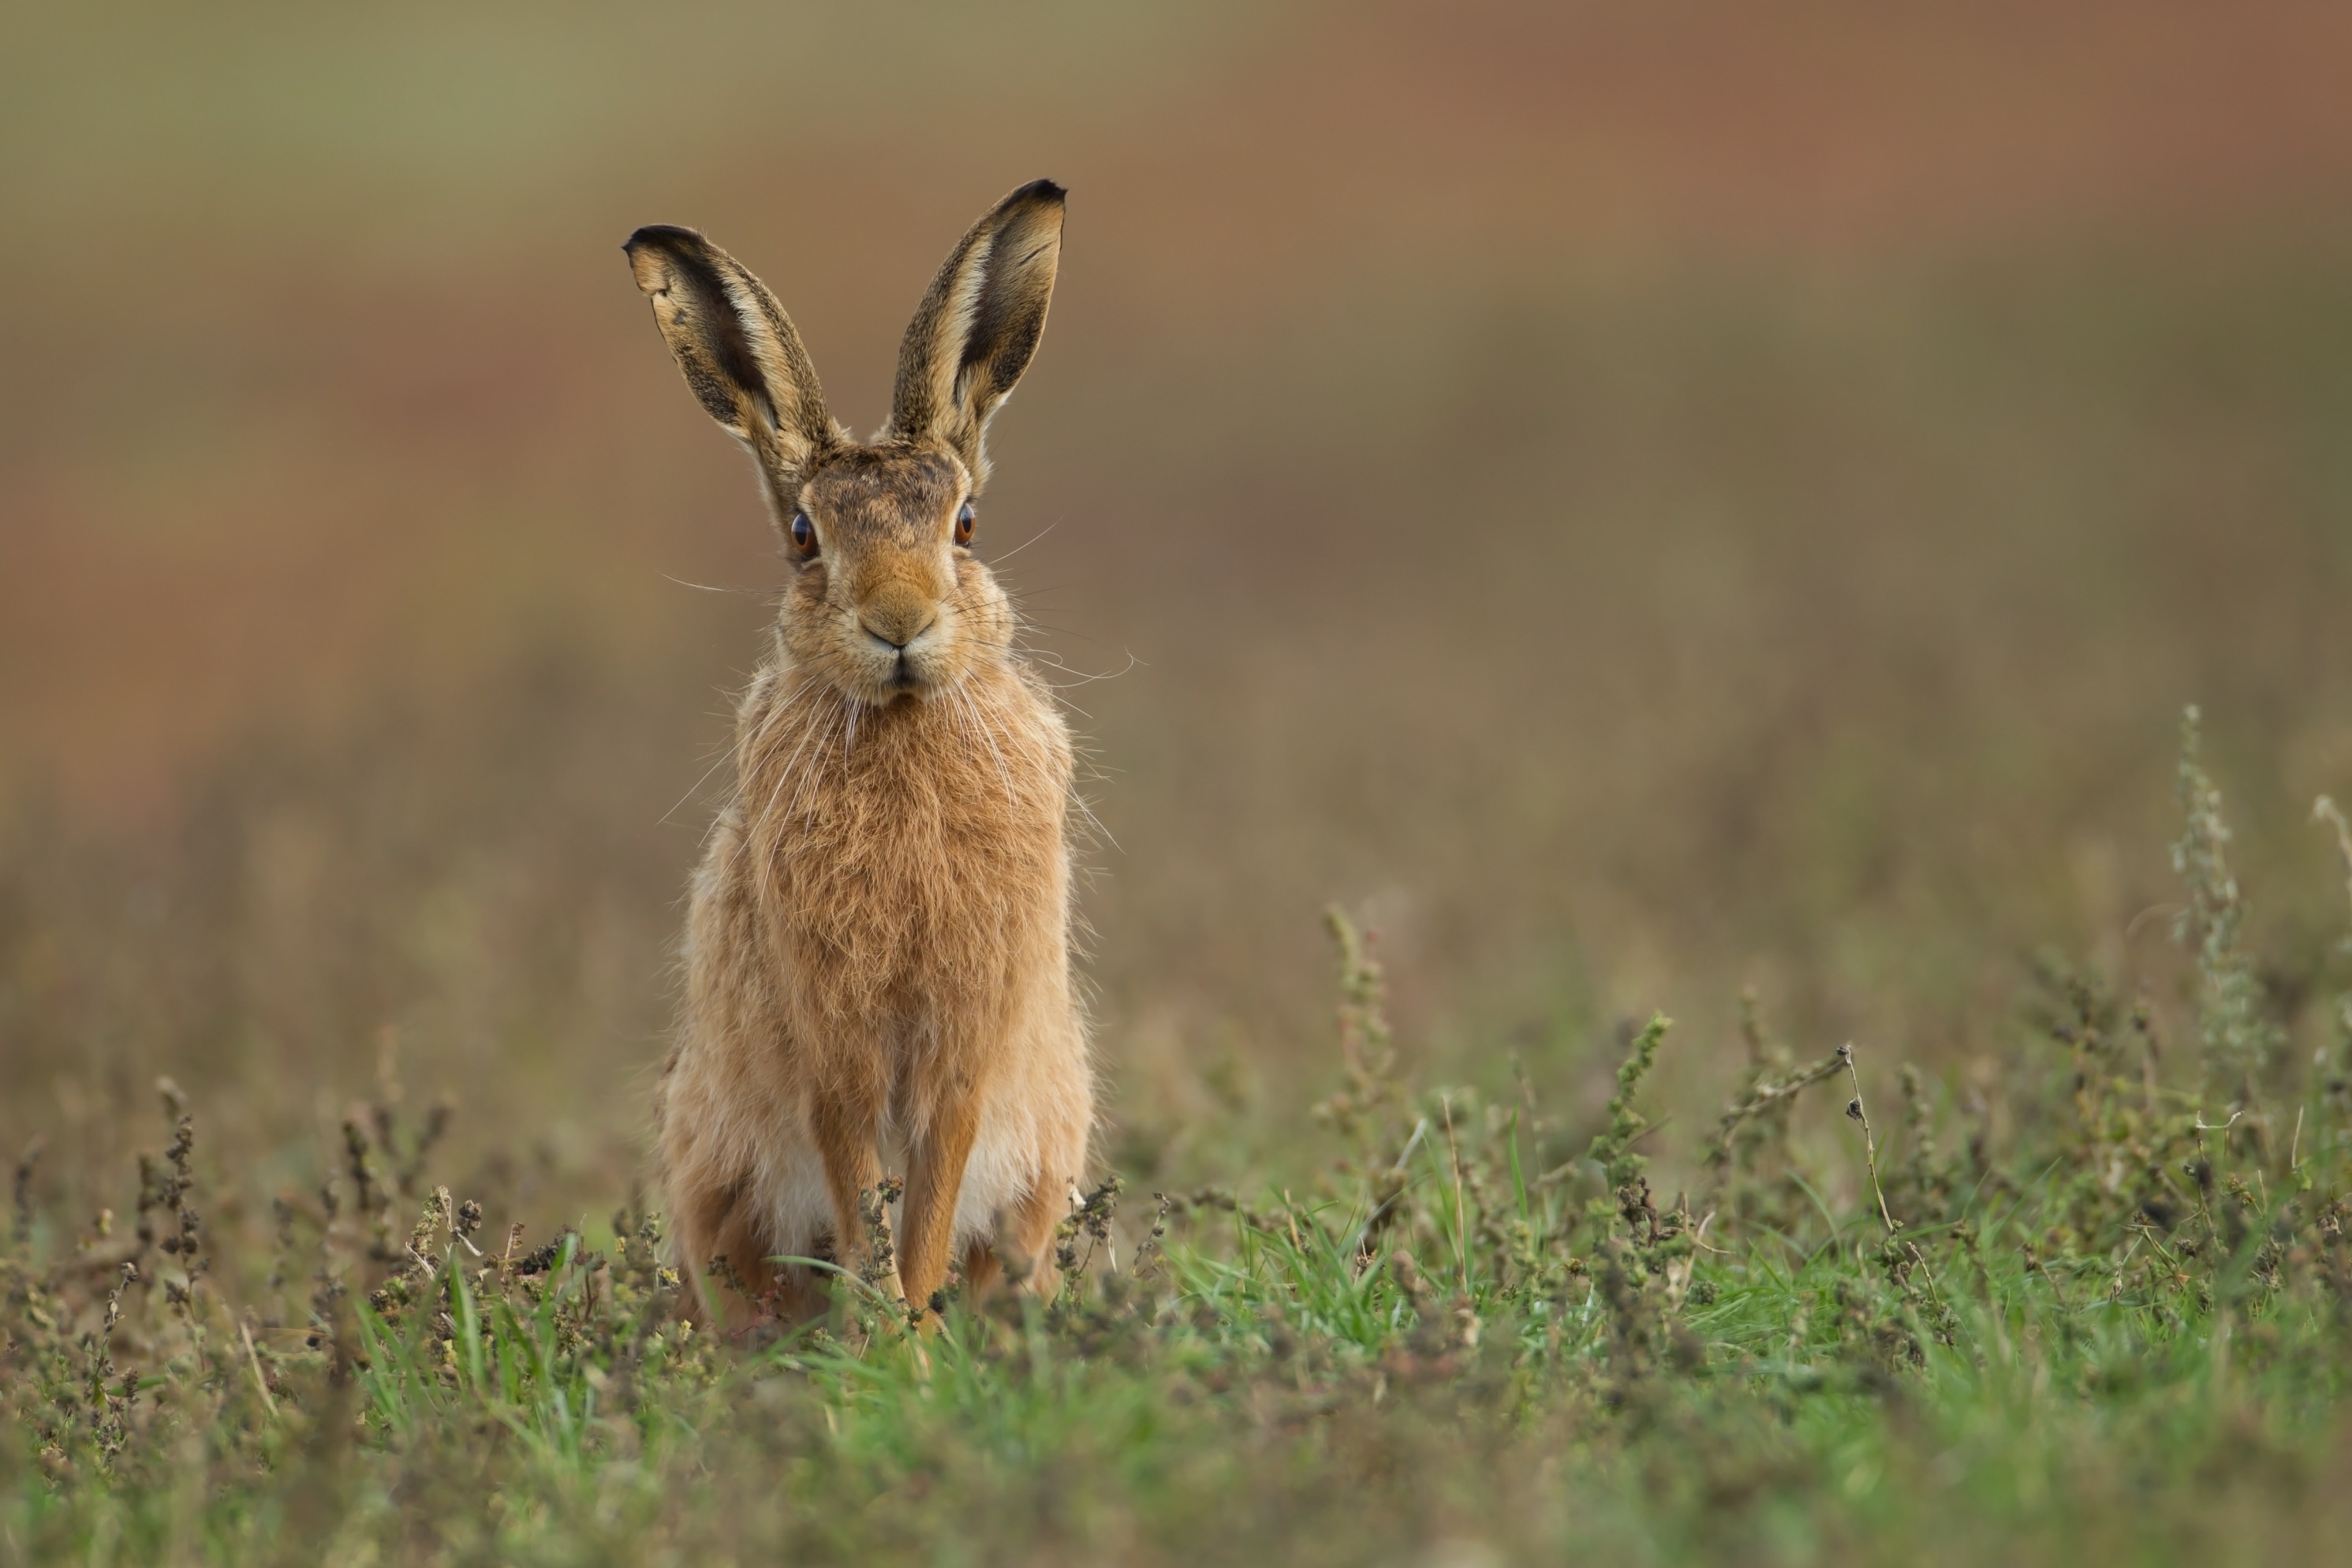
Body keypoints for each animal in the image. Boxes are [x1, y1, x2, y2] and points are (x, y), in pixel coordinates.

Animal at [624, 180, 1092, 1329]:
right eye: (804, 537)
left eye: (965, 525)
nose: (899, 624)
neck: (900, 721)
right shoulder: (830, 1048)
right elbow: (861, 1195)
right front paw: (884, 1341)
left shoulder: (964, 1048)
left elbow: (923, 1207)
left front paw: (908, 1338)